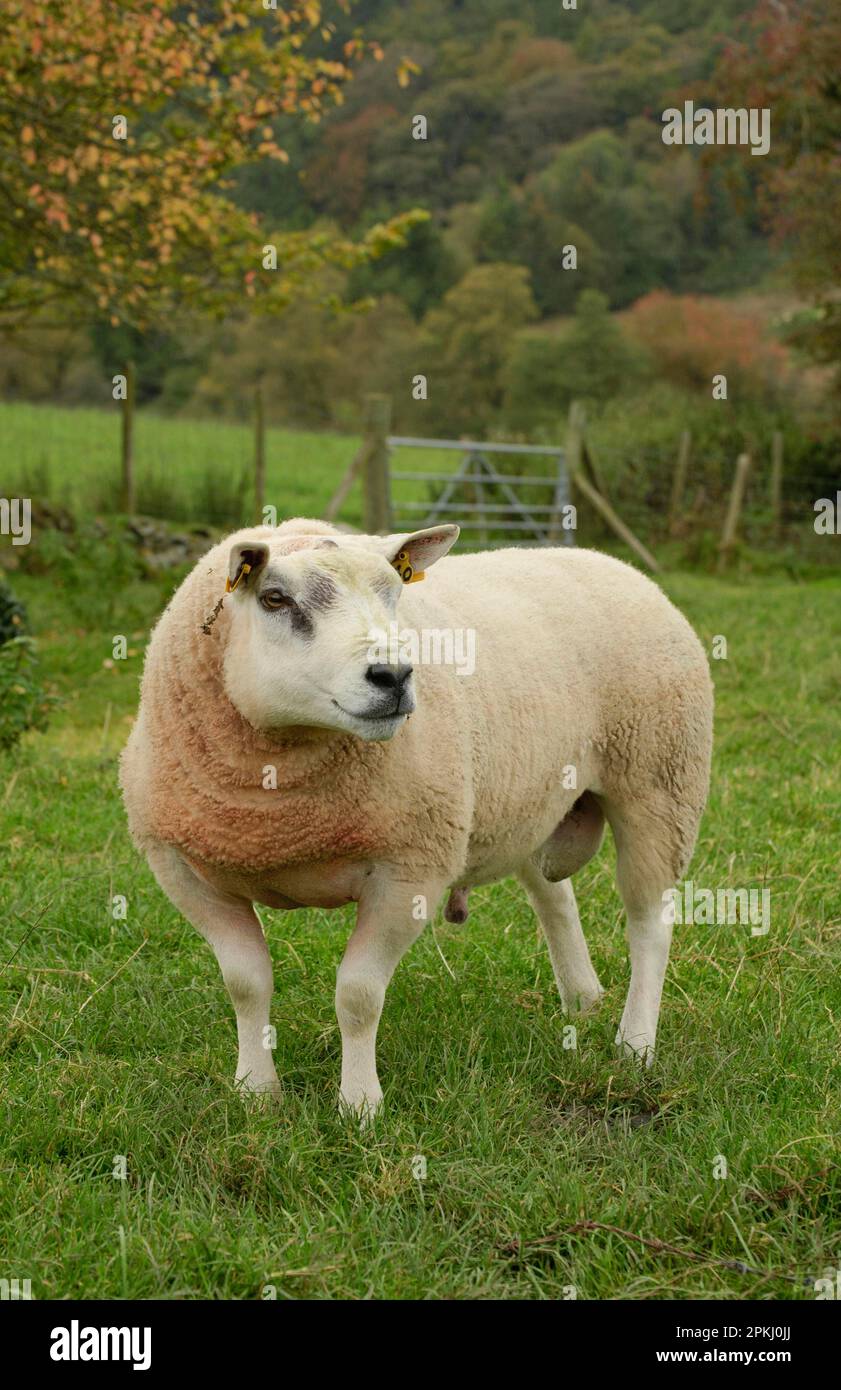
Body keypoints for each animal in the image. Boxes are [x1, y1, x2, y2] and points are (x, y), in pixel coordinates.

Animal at [120, 516, 713, 1117]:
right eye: (274, 598)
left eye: (393, 593)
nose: (394, 675)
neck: (278, 812)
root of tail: (612, 563)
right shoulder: (183, 870)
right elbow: (246, 984)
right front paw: (256, 1092)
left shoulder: (410, 869)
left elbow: (358, 995)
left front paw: (360, 1106)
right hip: (529, 799)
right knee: (555, 897)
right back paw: (583, 999)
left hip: (660, 783)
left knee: (649, 923)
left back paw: (635, 1044)